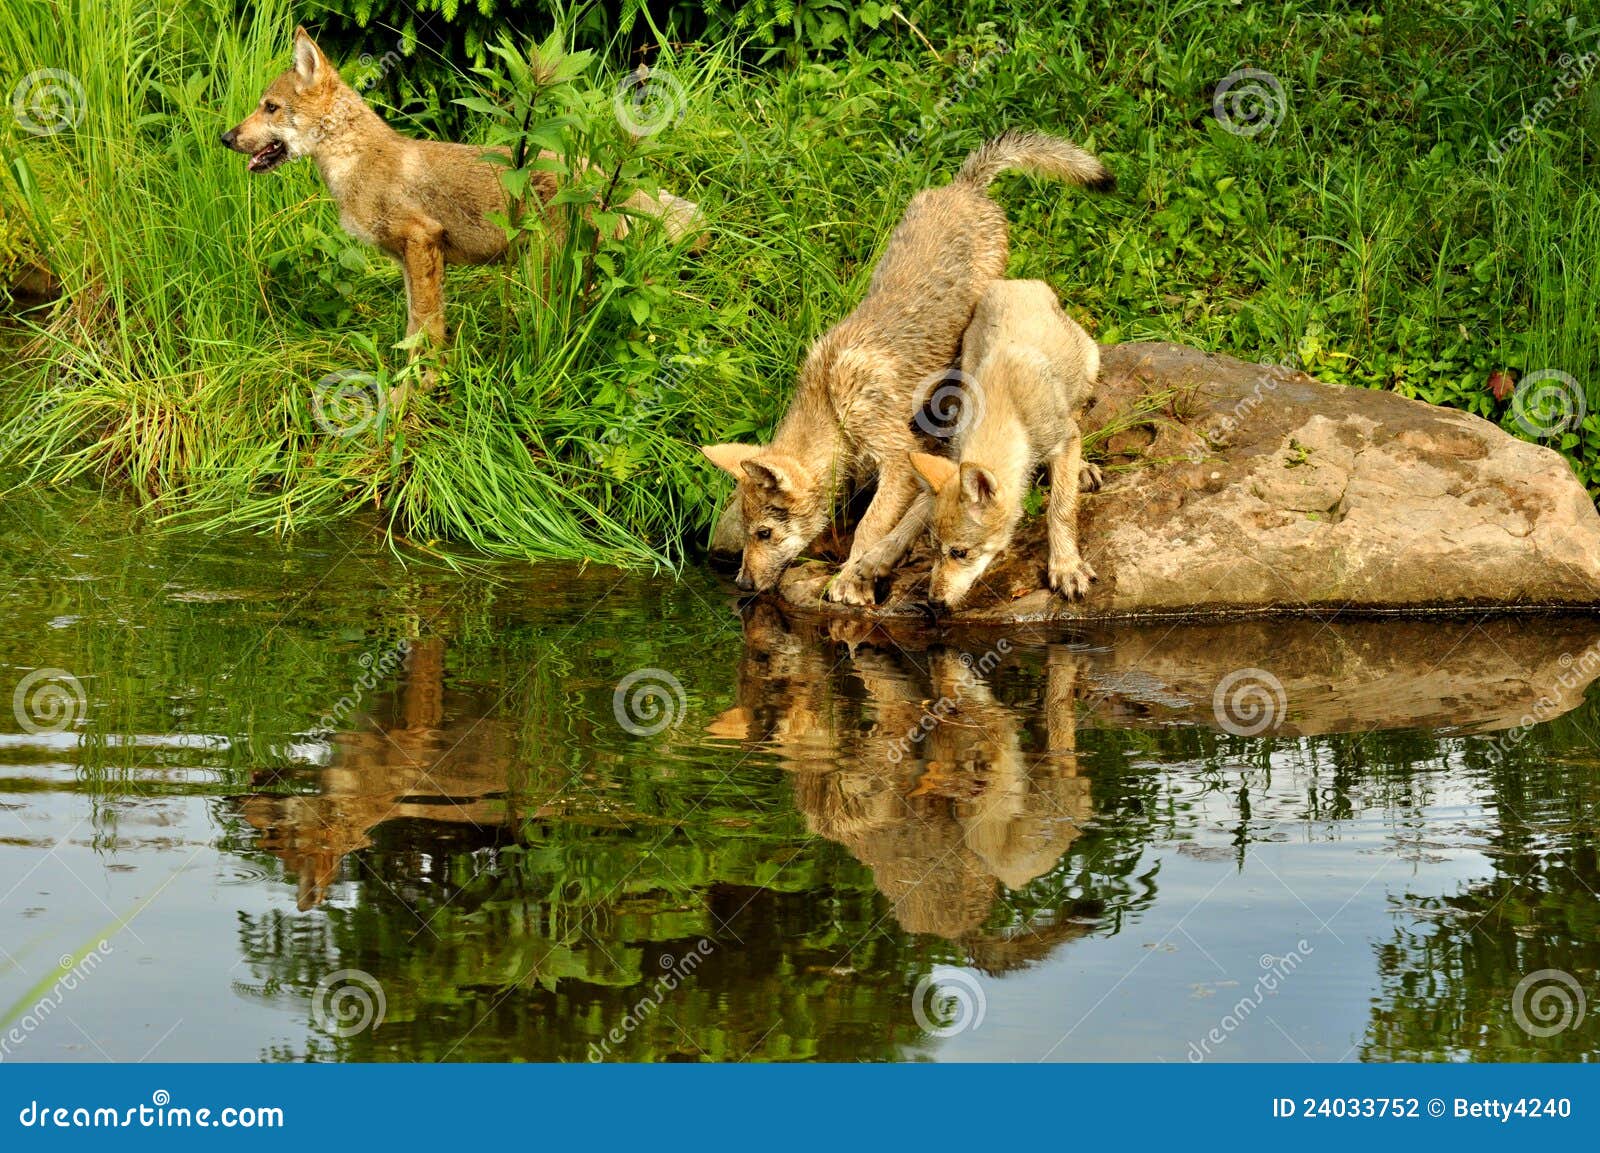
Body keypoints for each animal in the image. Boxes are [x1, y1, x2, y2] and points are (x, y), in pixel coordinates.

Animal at [220, 28, 699, 363]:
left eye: (270, 108)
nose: (225, 138)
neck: (354, 162)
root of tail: (603, 177)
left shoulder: (422, 239)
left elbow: (426, 332)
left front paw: (413, 389)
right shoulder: (411, 260)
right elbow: (417, 325)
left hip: (545, 276)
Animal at [906, 278, 1102, 612]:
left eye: (960, 553)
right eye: (933, 551)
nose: (933, 603)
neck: (1006, 410)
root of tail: (1014, 282)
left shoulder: (1065, 439)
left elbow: (1060, 509)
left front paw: (1066, 568)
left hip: (1089, 364)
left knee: (1078, 414)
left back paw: (1083, 468)